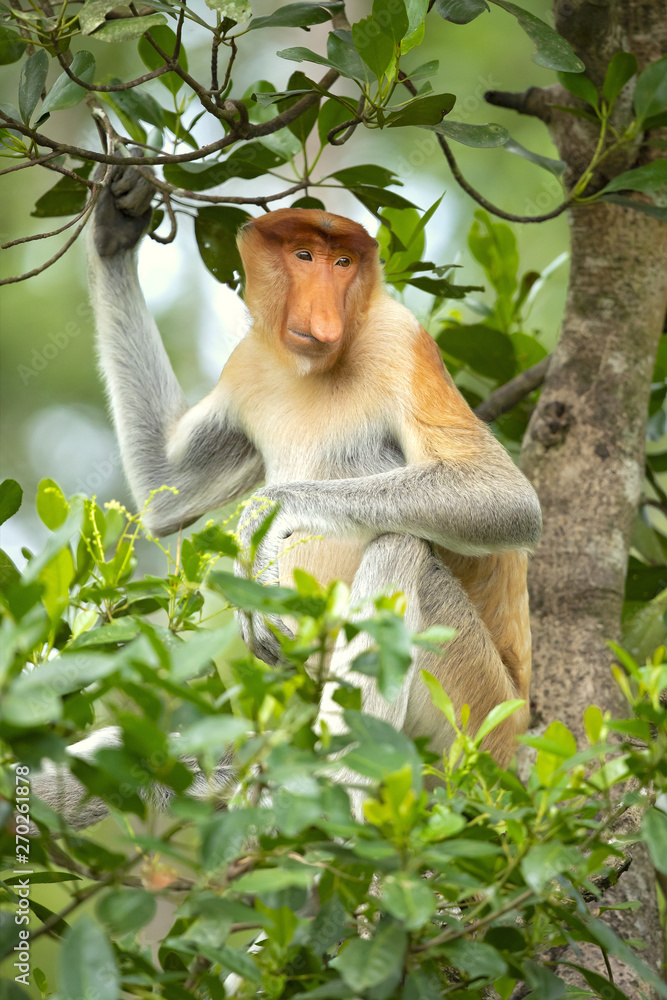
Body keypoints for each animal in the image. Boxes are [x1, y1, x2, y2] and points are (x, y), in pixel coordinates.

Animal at [29, 163, 541, 828]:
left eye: (344, 262)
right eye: (303, 255)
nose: (323, 316)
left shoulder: (399, 342)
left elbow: (506, 499)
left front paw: (264, 525)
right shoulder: (248, 365)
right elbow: (170, 490)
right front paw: (117, 224)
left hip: (474, 720)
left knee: (401, 548)